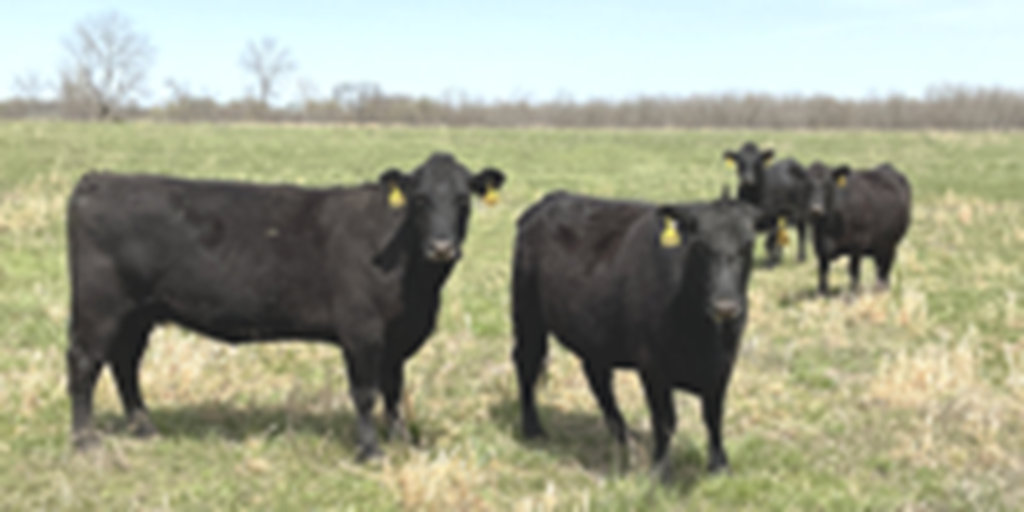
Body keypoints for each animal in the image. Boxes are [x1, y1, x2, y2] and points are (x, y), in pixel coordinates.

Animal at [66, 152, 506, 461]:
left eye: (463, 200)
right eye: (419, 200)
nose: (442, 247)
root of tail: (99, 179)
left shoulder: (396, 337)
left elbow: (395, 390)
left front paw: (400, 442)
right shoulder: (361, 330)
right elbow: (365, 393)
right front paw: (371, 451)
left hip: (138, 313)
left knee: (125, 362)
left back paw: (143, 428)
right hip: (100, 308)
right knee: (85, 364)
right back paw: (85, 441)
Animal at [511, 190, 760, 480]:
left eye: (748, 246)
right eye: (699, 246)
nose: (725, 306)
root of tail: (552, 198)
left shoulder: (723, 365)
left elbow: (713, 416)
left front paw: (720, 466)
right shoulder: (652, 365)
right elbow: (665, 420)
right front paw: (661, 471)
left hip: (594, 333)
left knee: (598, 379)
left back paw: (624, 436)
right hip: (527, 315)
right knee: (527, 363)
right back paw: (533, 428)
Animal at [805, 161, 911, 296]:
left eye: (828, 185)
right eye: (807, 184)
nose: (816, 209)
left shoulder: (857, 244)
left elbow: (853, 269)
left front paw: (853, 291)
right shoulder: (819, 244)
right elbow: (823, 268)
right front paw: (821, 291)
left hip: (890, 243)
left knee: (886, 264)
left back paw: (882, 287)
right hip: (880, 245)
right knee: (880, 264)